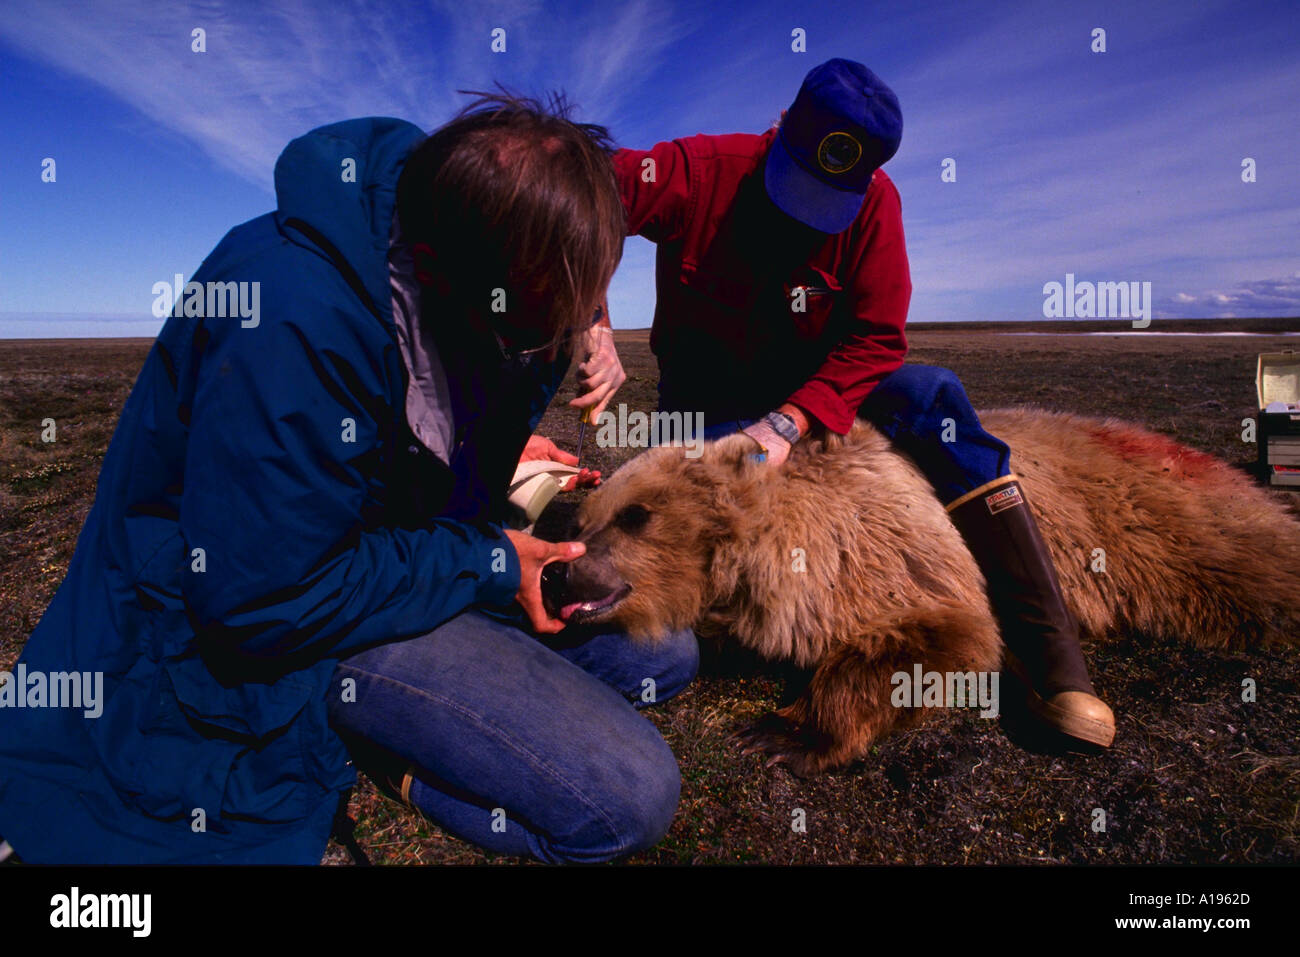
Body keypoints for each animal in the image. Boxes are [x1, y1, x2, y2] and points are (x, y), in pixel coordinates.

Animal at [542, 407, 1300, 776]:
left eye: (636, 515)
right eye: (581, 523)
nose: (559, 575)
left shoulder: (887, 547)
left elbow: (943, 636)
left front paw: (780, 732)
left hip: (1165, 525)